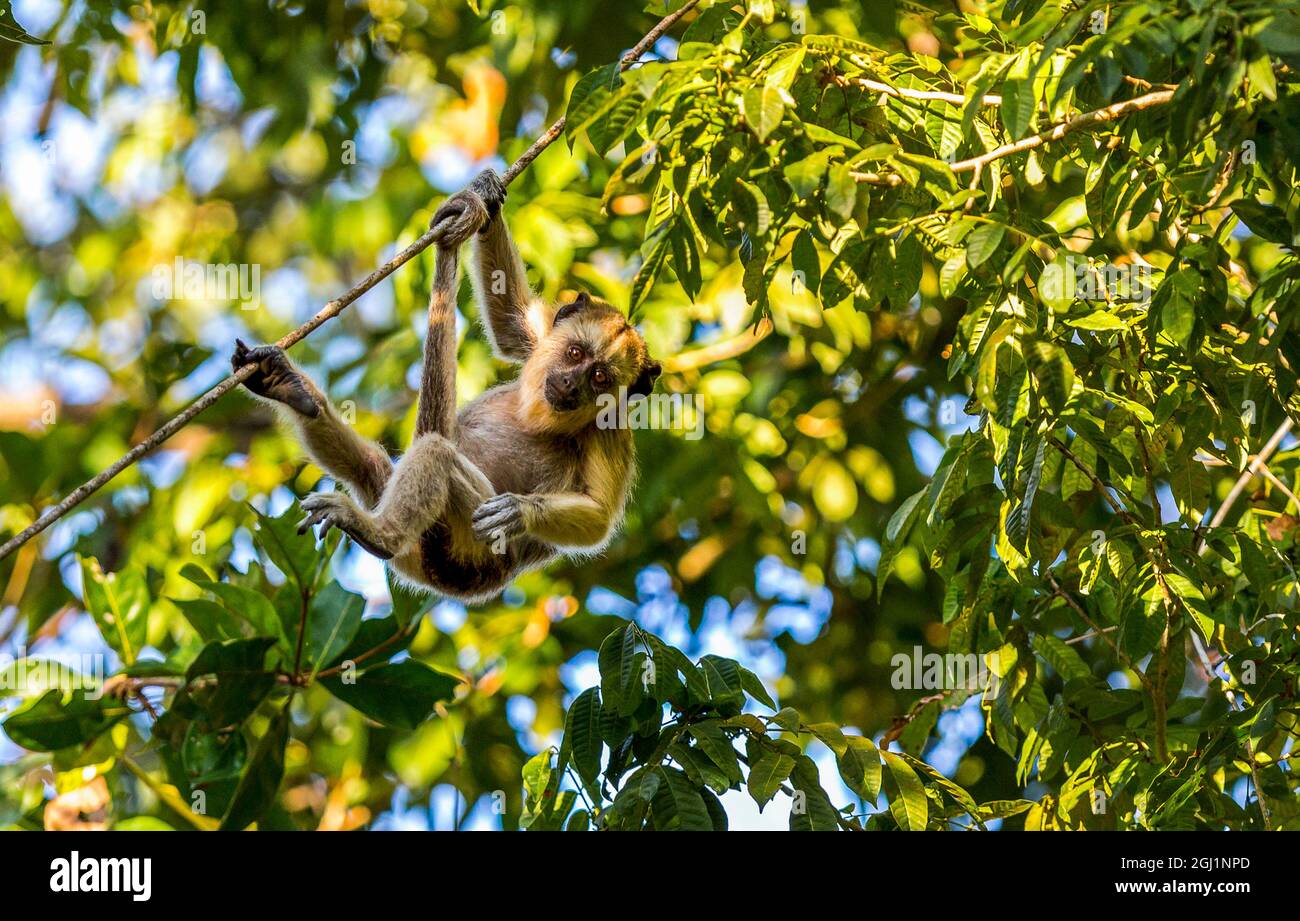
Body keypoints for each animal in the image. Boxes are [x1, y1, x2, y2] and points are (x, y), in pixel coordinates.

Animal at [231, 169, 662, 604]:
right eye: (575, 353)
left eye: (600, 378)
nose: (571, 383)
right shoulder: (543, 339)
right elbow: (511, 323)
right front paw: (488, 197)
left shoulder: (612, 429)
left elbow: (599, 517)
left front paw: (519, 511)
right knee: (372, 466)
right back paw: (294, 393)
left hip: (473, 546)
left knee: (436, 452)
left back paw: (381, 534)